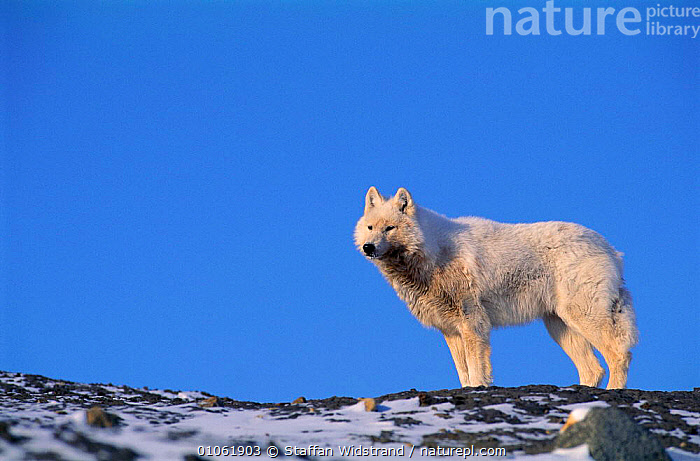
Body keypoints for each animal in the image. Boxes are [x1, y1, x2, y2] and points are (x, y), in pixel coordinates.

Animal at [354, 187, 638, 389]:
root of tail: (612, 250)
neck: (434, 252)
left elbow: (476, 369)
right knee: (594, 369)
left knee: (619, 355)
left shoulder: (473, 323)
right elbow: (463, 374)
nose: (368, 247)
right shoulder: (451, 331)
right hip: (560, 327)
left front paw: (480, 387)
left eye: (390, 228)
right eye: (370, 227)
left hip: (583, 317)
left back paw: (614, 392)